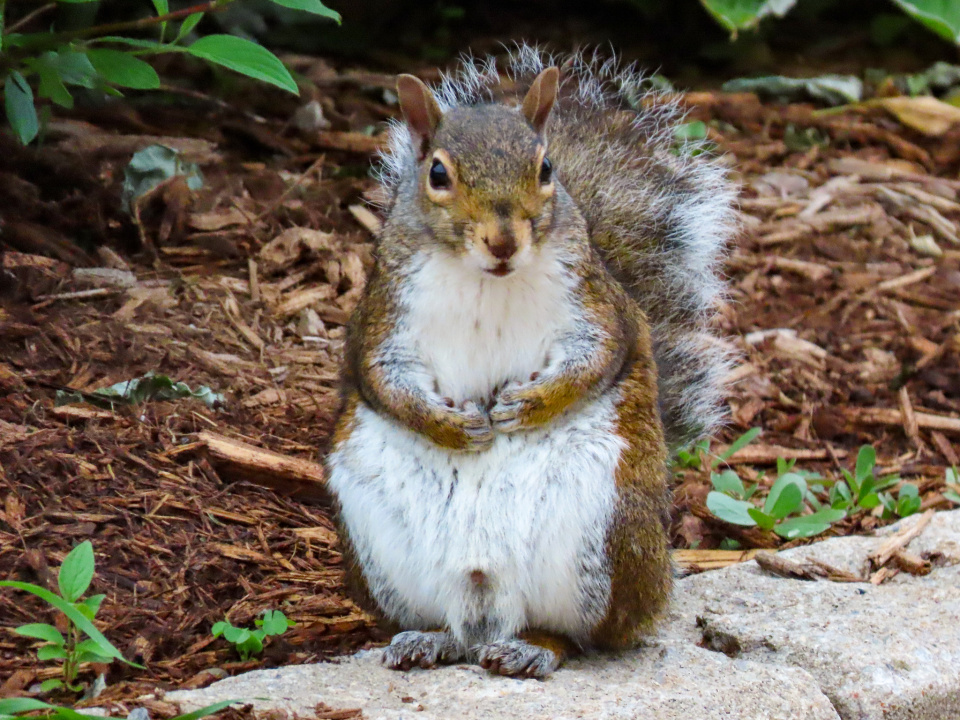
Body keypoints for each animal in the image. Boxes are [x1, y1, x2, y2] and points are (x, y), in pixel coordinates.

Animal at [325, 46, 735, 679]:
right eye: (437, 174)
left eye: (546, 170)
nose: (503, 240)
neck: (486, 280)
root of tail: (484, 607)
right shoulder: (383, 317)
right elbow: (383, 378)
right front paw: (453, 426)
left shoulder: (596, 307)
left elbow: (596, 357)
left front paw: (529, 404)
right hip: (375, 534)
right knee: (446, 624)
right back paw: (427, 639)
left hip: (602, 524)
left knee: (581, 637)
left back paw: (531, 647)